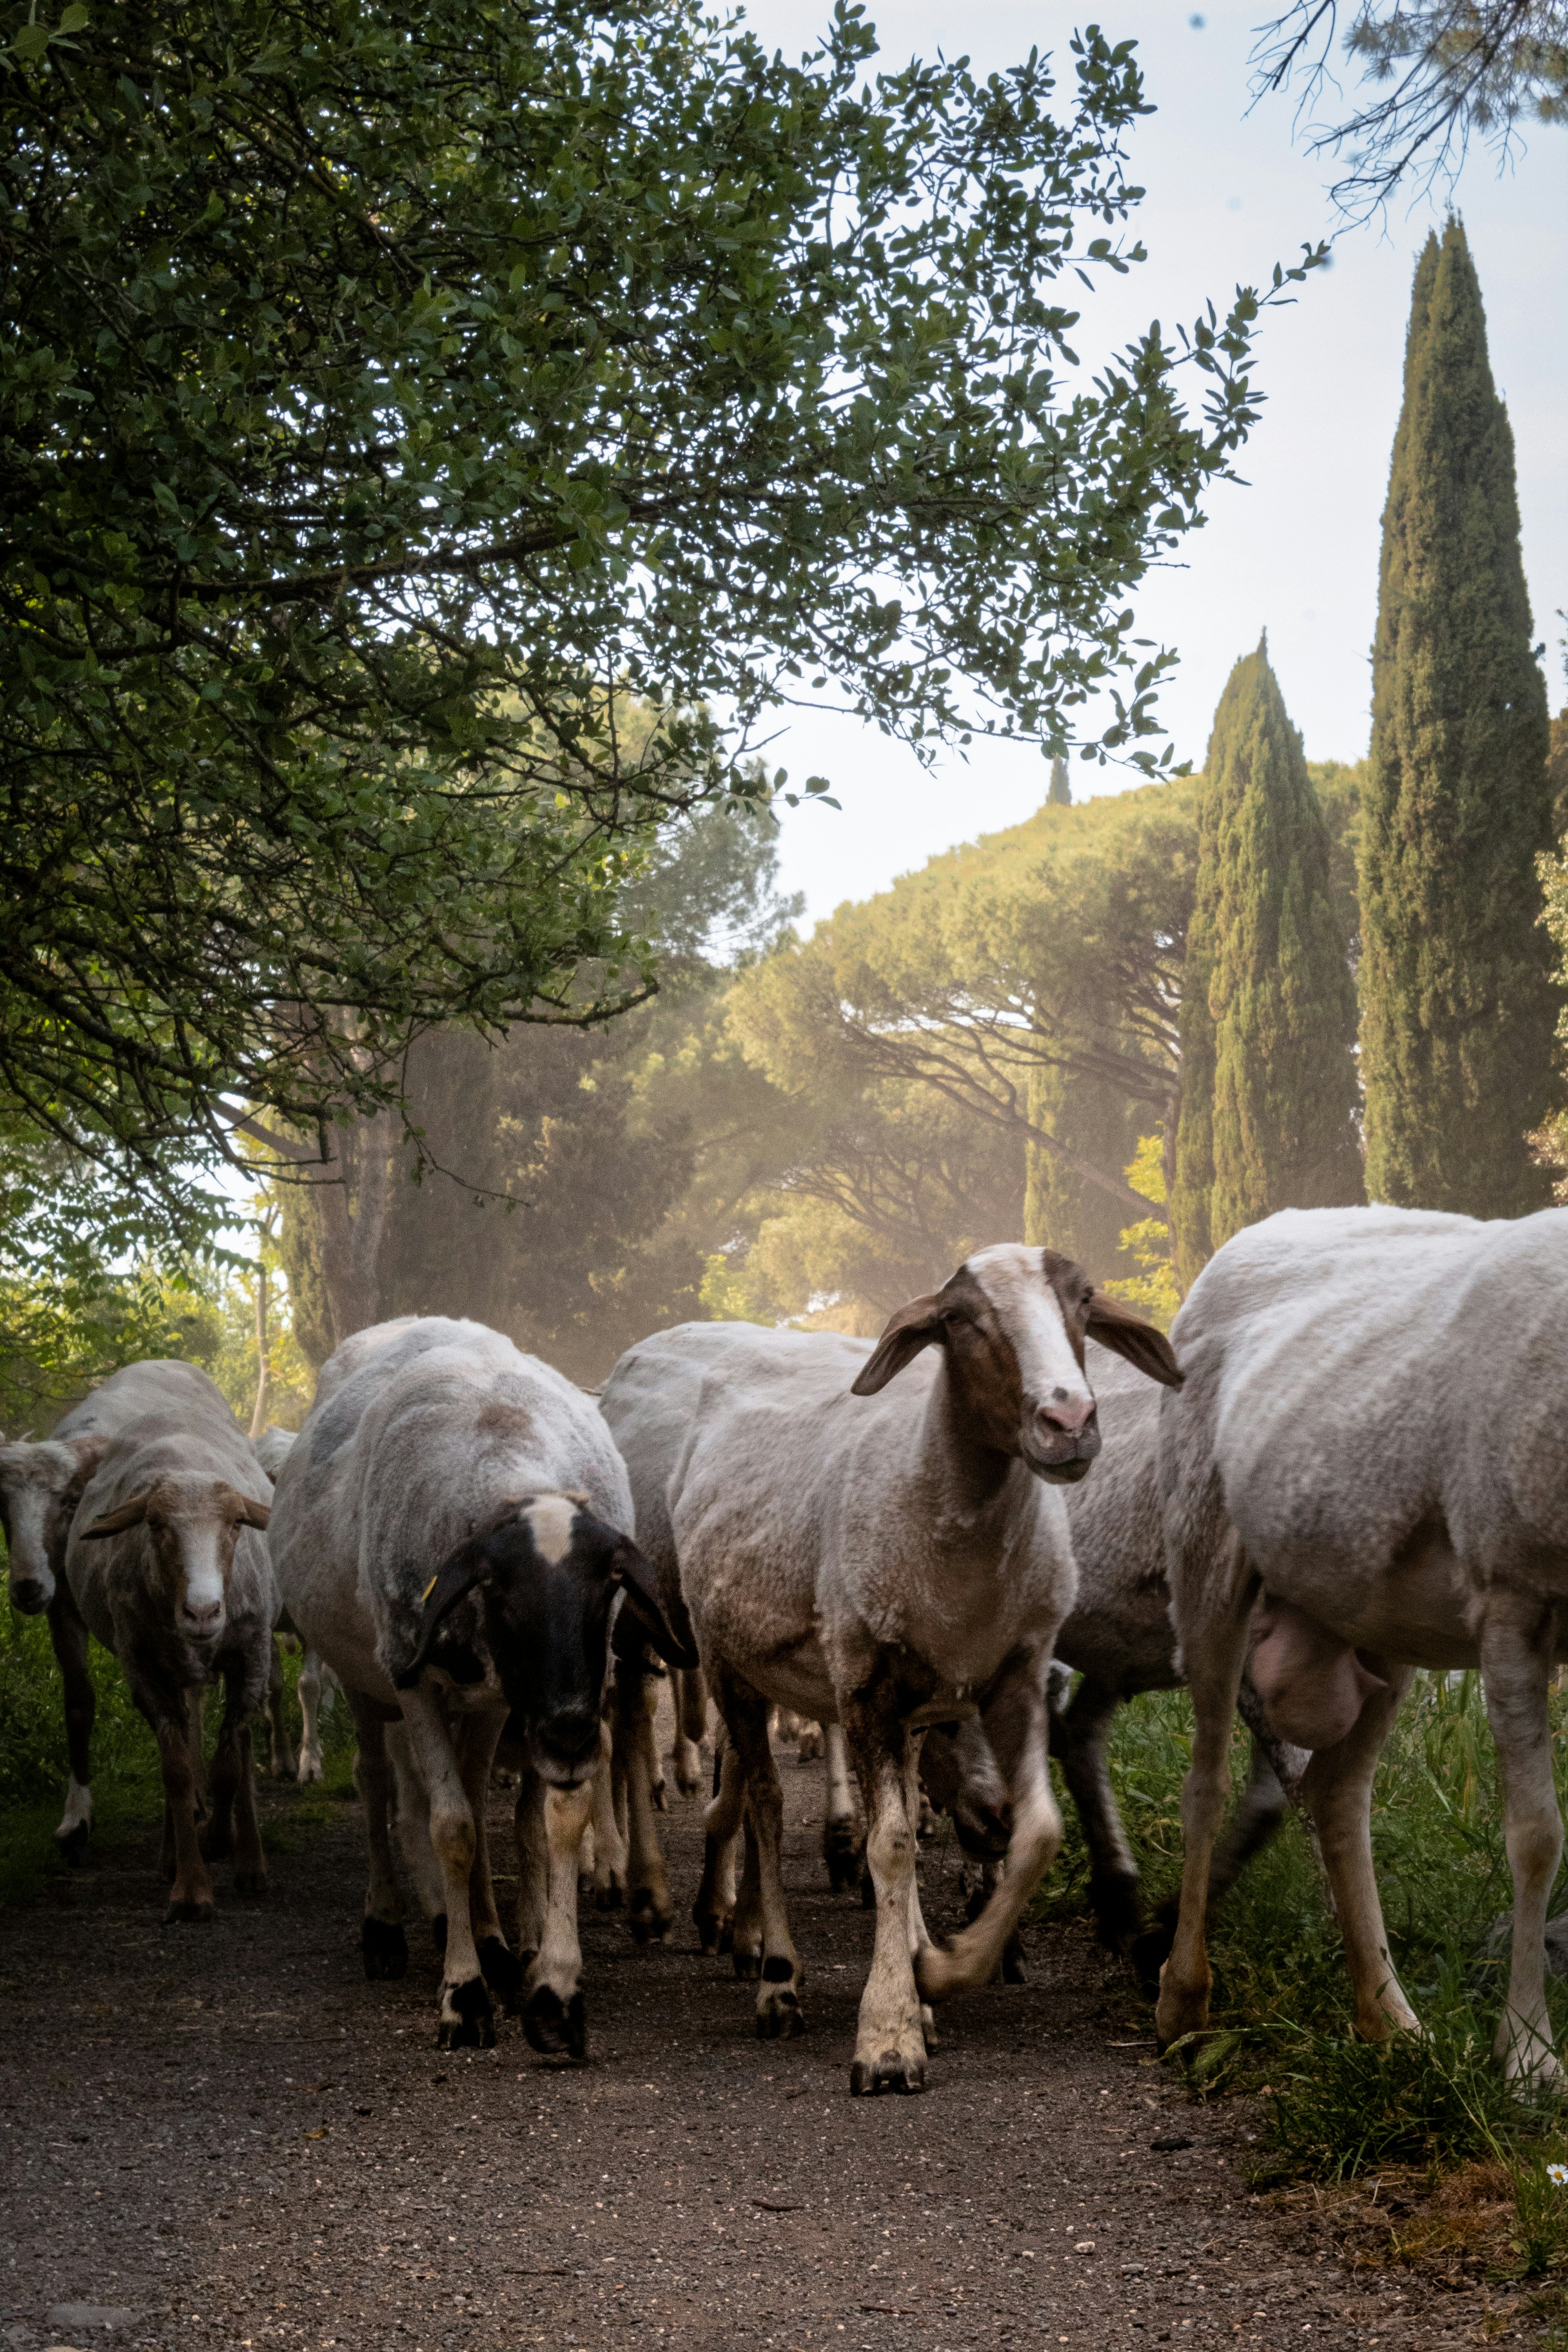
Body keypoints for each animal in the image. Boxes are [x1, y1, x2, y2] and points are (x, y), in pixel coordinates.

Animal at [63, 1361, 277, 1917]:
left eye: (236, 1524)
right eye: (156, 1524)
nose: (202, 1612)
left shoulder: (252, 1655)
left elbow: (227, 1767)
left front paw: (220, 1842)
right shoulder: (143, 1669)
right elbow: (177, 1770)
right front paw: (190, 1887)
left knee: (241, 1746)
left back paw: (251, 1863)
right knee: (181, 1736)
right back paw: (170, 1856)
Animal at [267, 1315, 691, 2054]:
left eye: (606, 1592)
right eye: (506, 1597)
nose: (572, 1737)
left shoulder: (519, 1702)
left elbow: (551, 1820)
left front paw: (553, 1993)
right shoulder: (416, 1683)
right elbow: (452, 1828)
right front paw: (462, 1999)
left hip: (490, 1704)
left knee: (465, 1784)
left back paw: (487, 1938)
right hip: (366, 1678)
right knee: (378, 1783)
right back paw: (387, 1929)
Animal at [601, 1243, 1181, 2093]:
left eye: (1083, 1300)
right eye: (960, 1320)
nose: (1070, 1421)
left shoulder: (1009, 1675)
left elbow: (1036, 1832)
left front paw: (942, 1969)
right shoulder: (866, 1685)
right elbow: (892, 1847)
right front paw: (888, 2034)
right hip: (730, 1663)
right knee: (762, 1801)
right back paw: (775, 1972)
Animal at [1155, 1204, 1568, 2086]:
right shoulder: (1511, 1593)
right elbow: (1535, 1835)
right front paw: (1528, 2055)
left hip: (1376, 1617)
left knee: (1338, 1794)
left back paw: (1390, 2019)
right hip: (1203, 1546)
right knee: (1205, 1779)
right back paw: (1184, 1998)